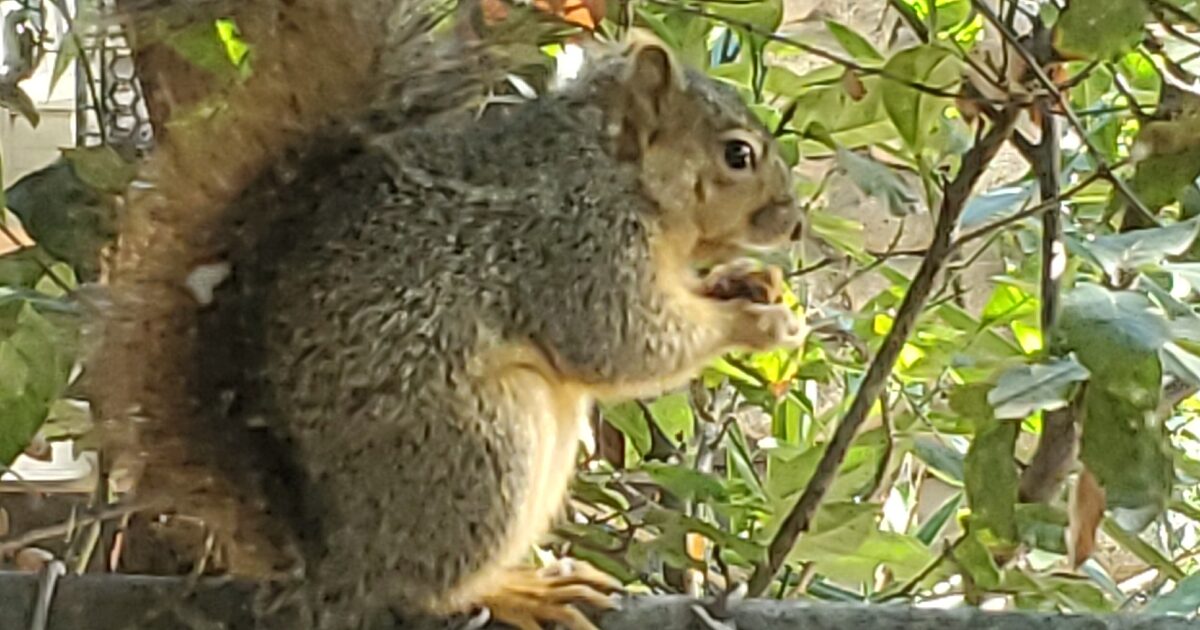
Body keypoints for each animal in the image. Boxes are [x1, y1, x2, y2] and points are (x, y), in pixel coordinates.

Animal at [83, 0, 805, 628]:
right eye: (737, 155)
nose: (794, 225)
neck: (614, 166)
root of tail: (326, 564)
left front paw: (750, 284)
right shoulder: (575, 240)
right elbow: (619, 340)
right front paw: (754, 324)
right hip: (480, 445)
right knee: (416, 586)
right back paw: (509, 590)